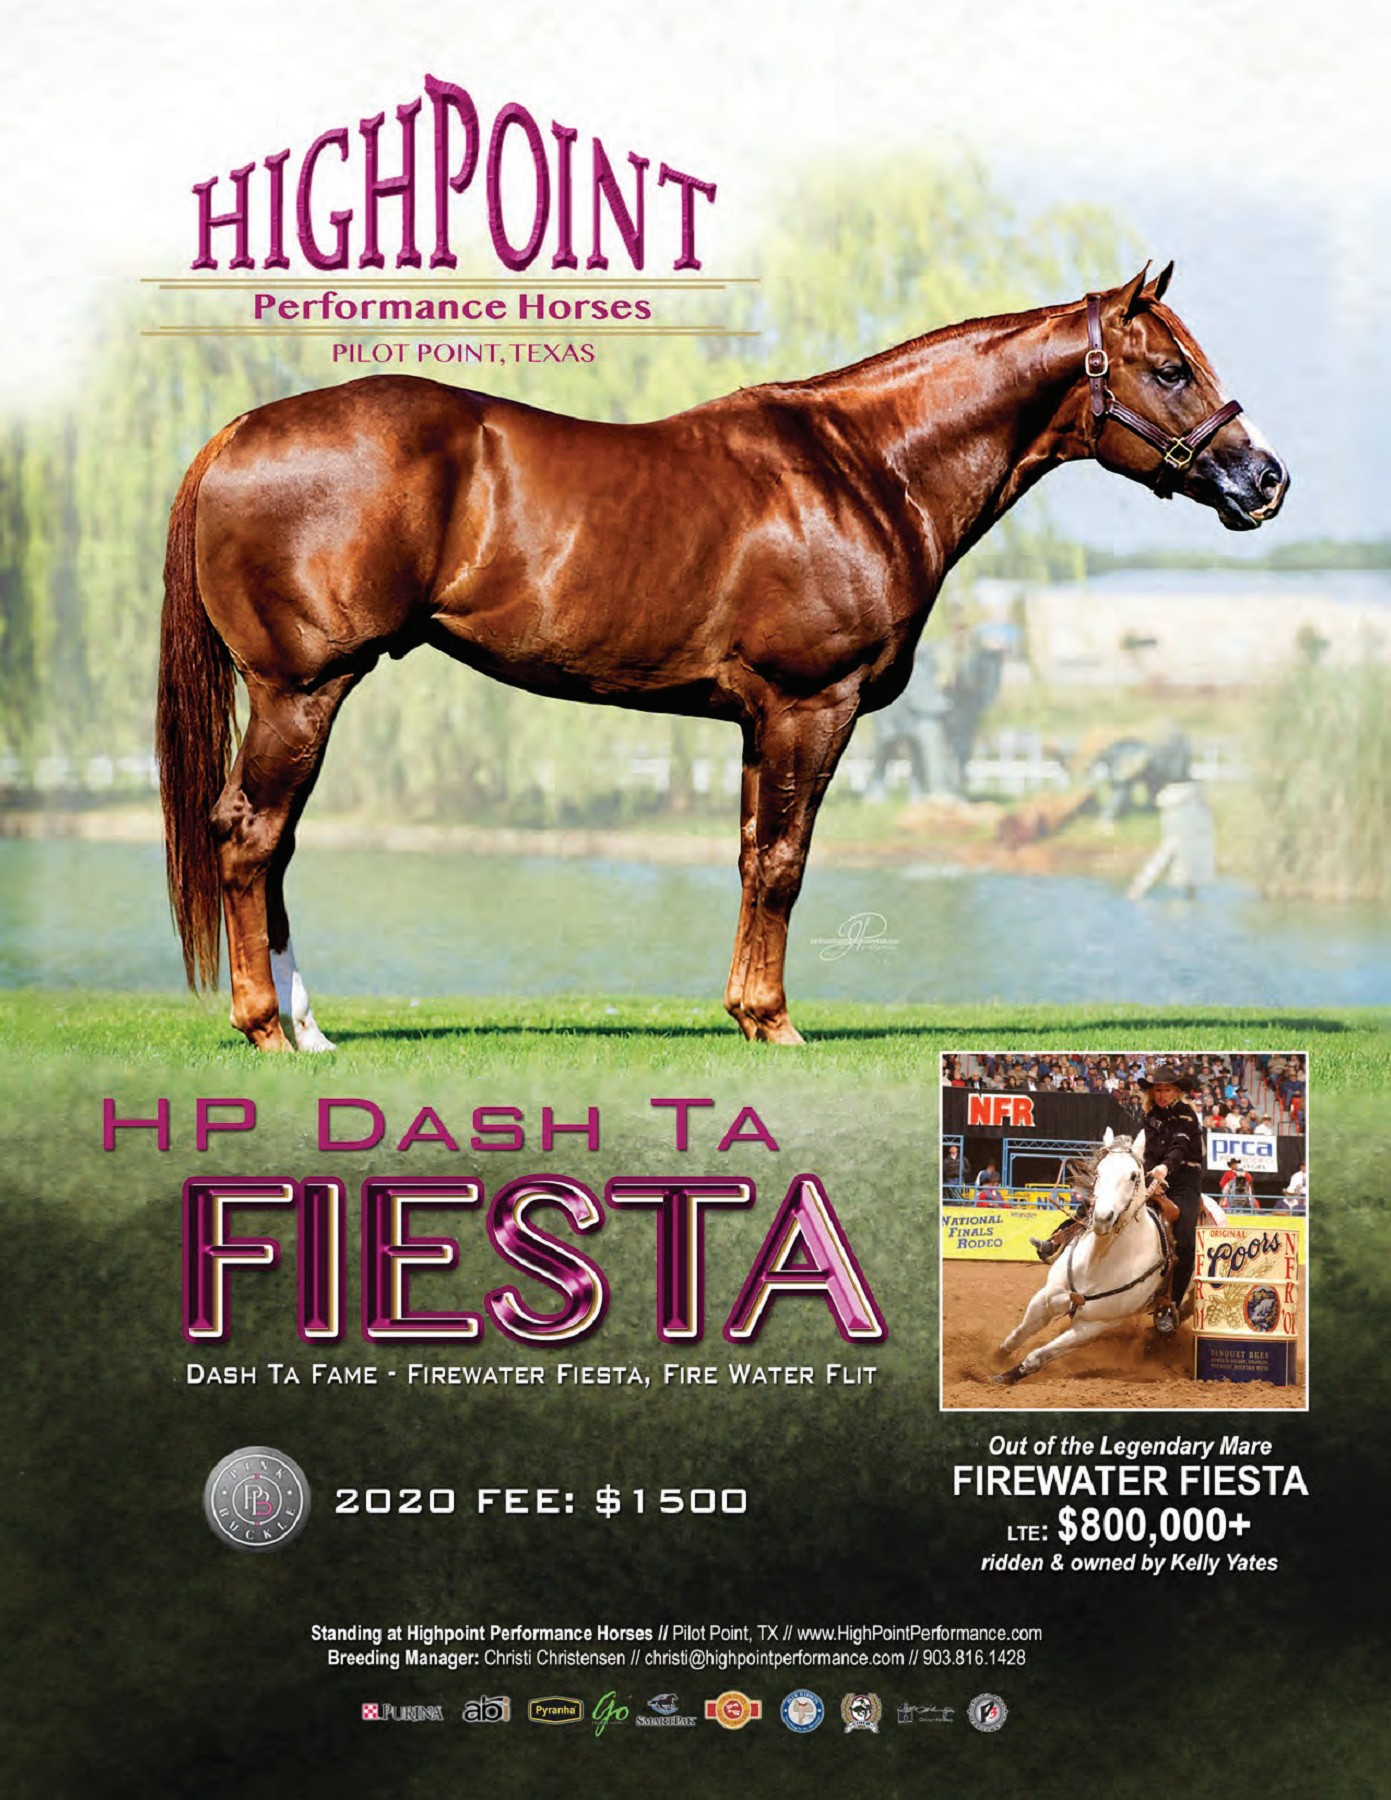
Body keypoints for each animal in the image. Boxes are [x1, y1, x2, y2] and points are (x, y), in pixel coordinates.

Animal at [156, 261, 1288, 1050]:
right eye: (1170, 368)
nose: (1263, 478)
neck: (865, 468)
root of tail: (237, 434)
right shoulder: (808, 704)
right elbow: (784, 863)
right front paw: (777, 1022)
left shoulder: (757, 719)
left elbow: (750, 854)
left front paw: (745, 1013)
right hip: (302, 689)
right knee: (250, 837)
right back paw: (267, 1029)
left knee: (272, 845)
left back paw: (309, 1028)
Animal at [992, 1129, 1170, 1383]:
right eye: (1098, 1172)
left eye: (1134, 1176)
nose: (1103, 1217)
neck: (1097, 1262)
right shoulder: (1046, 1298)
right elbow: (1016, 1336)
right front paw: (992, 1359)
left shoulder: (1092, 1327)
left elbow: (1037, 1357)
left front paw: (1005, 1376)